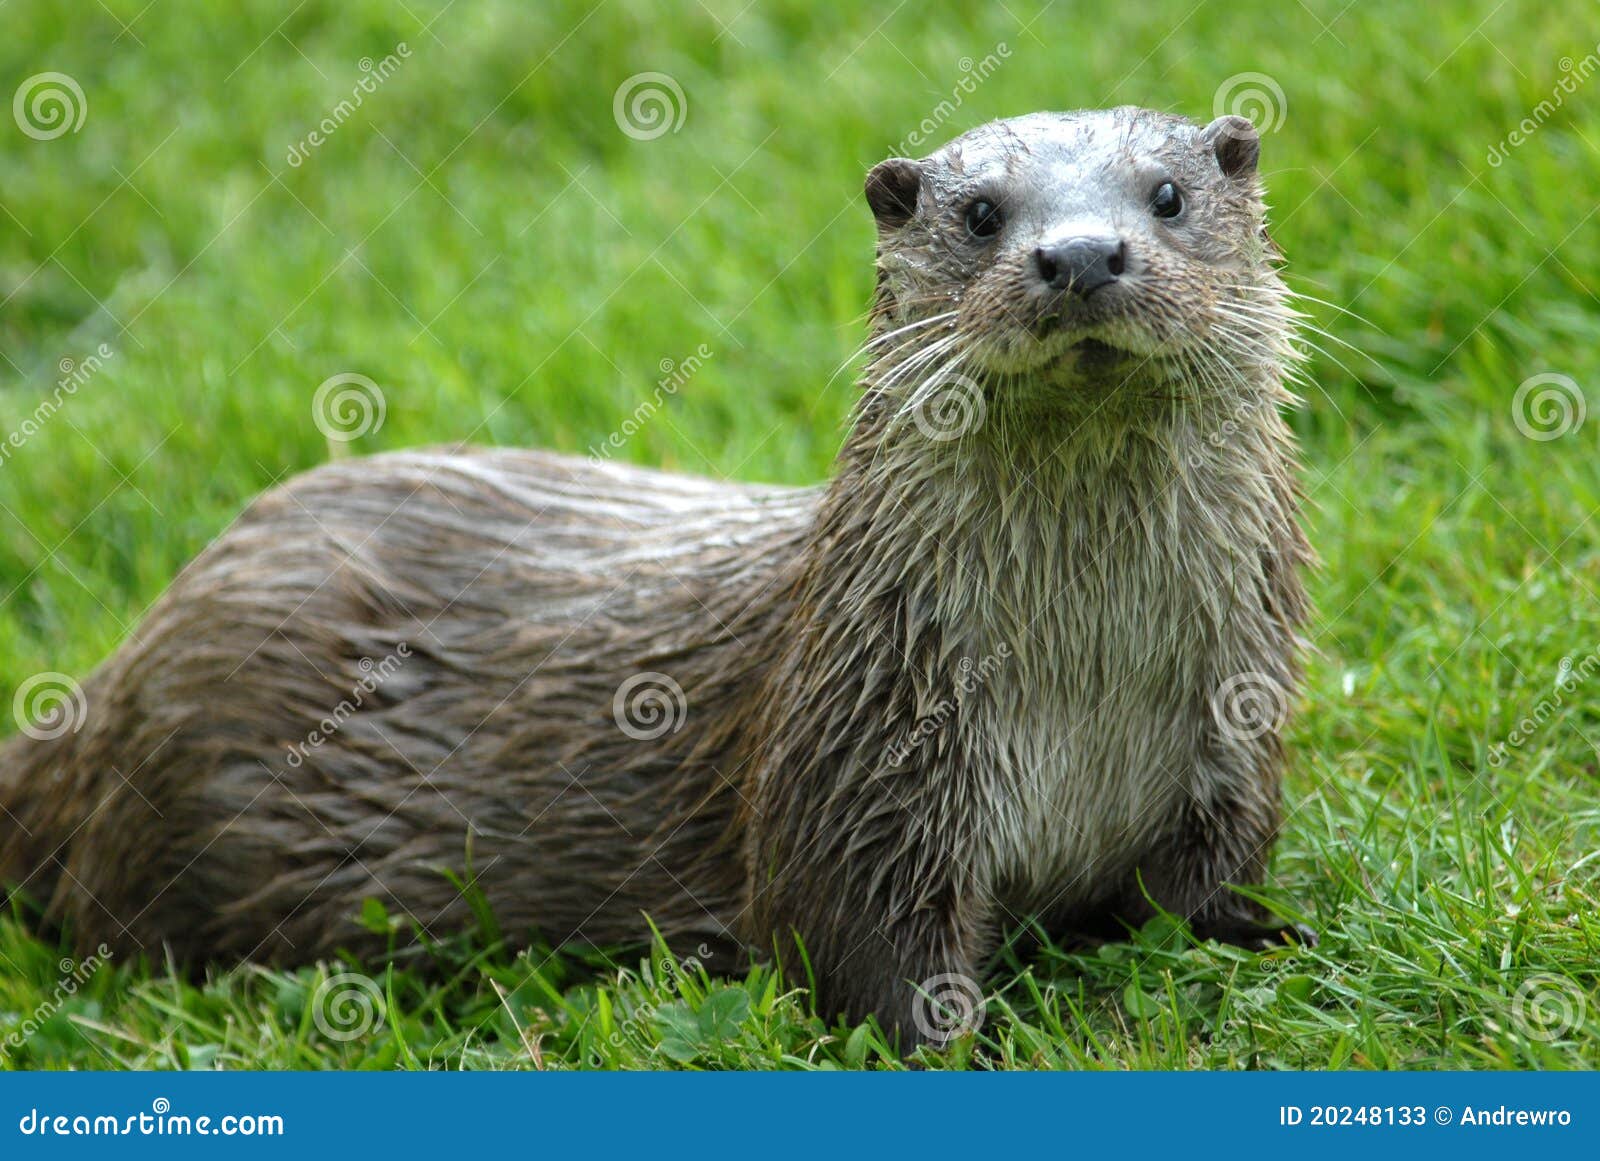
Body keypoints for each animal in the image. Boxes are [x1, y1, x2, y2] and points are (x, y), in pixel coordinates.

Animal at [0, 106, 1313, 1047]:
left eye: (1167, 195)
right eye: (983, 213)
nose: (1079, 254)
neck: (1085, 685)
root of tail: (107, 694)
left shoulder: (1233, 738)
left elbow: (1205, 890)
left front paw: (1274, 941)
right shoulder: (862, 766)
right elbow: (857, 950)